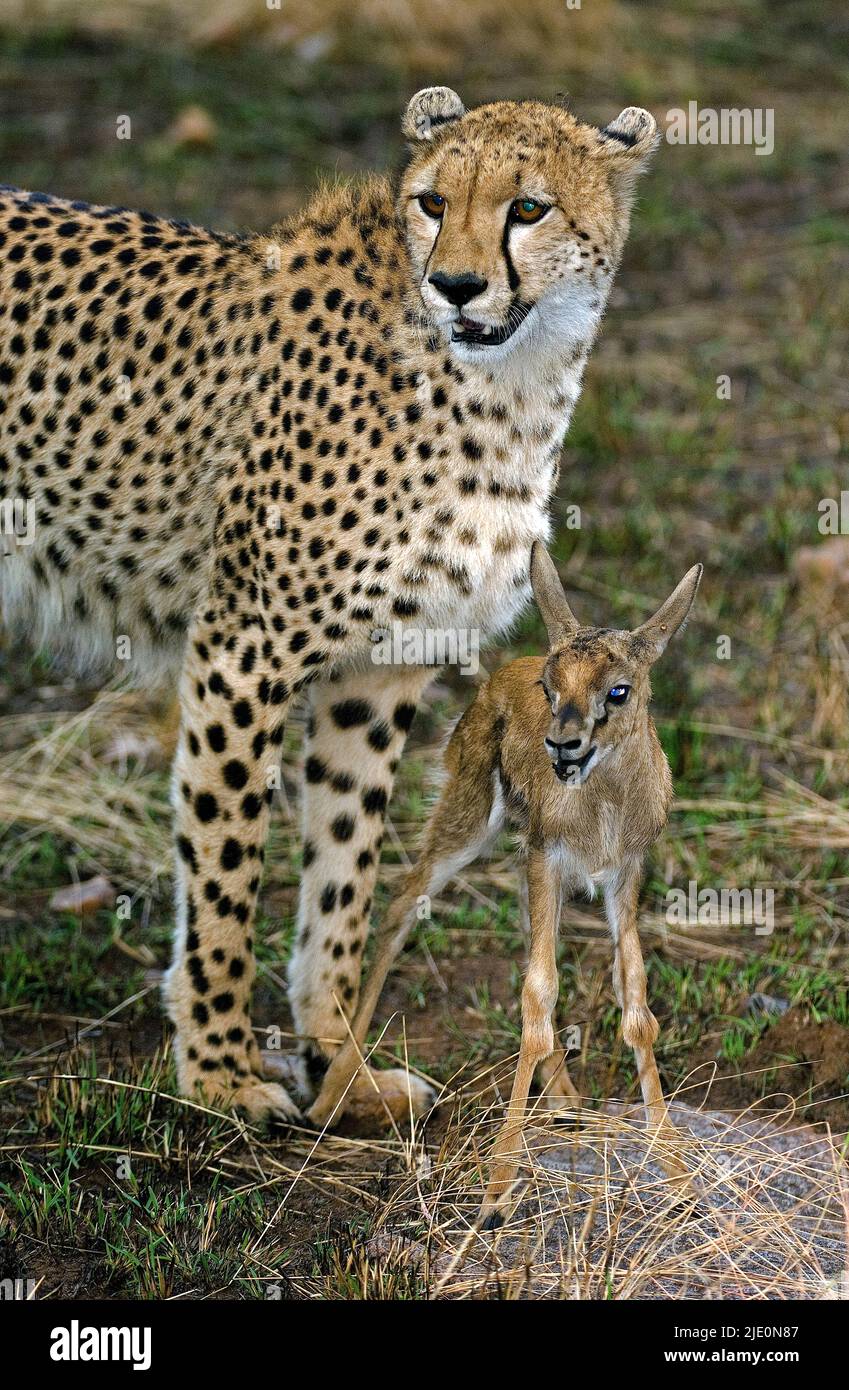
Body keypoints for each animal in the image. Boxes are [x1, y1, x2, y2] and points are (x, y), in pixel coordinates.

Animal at [0, 87, 659, 1122]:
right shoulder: (243, 648)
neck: (504, 387)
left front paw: (340, 1063)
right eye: (432, 202)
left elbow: (345, 868)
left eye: (527, 208)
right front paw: (221, 1071)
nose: (457, 285)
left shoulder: (378, 670)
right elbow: (227, 867)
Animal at [309, 544, 702, 1225]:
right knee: (402, 902)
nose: (562, 744)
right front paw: (496, 1191)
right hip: (470, 826)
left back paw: (566, 1100)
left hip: (525, 864)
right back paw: (332, 1095)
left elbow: (636, 1005)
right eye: (552, 686)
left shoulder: (622, 875)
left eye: (619, 689)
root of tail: (497, 676)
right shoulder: (548, 858)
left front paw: (677, 1176)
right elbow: (537, 994)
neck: (602, 811)